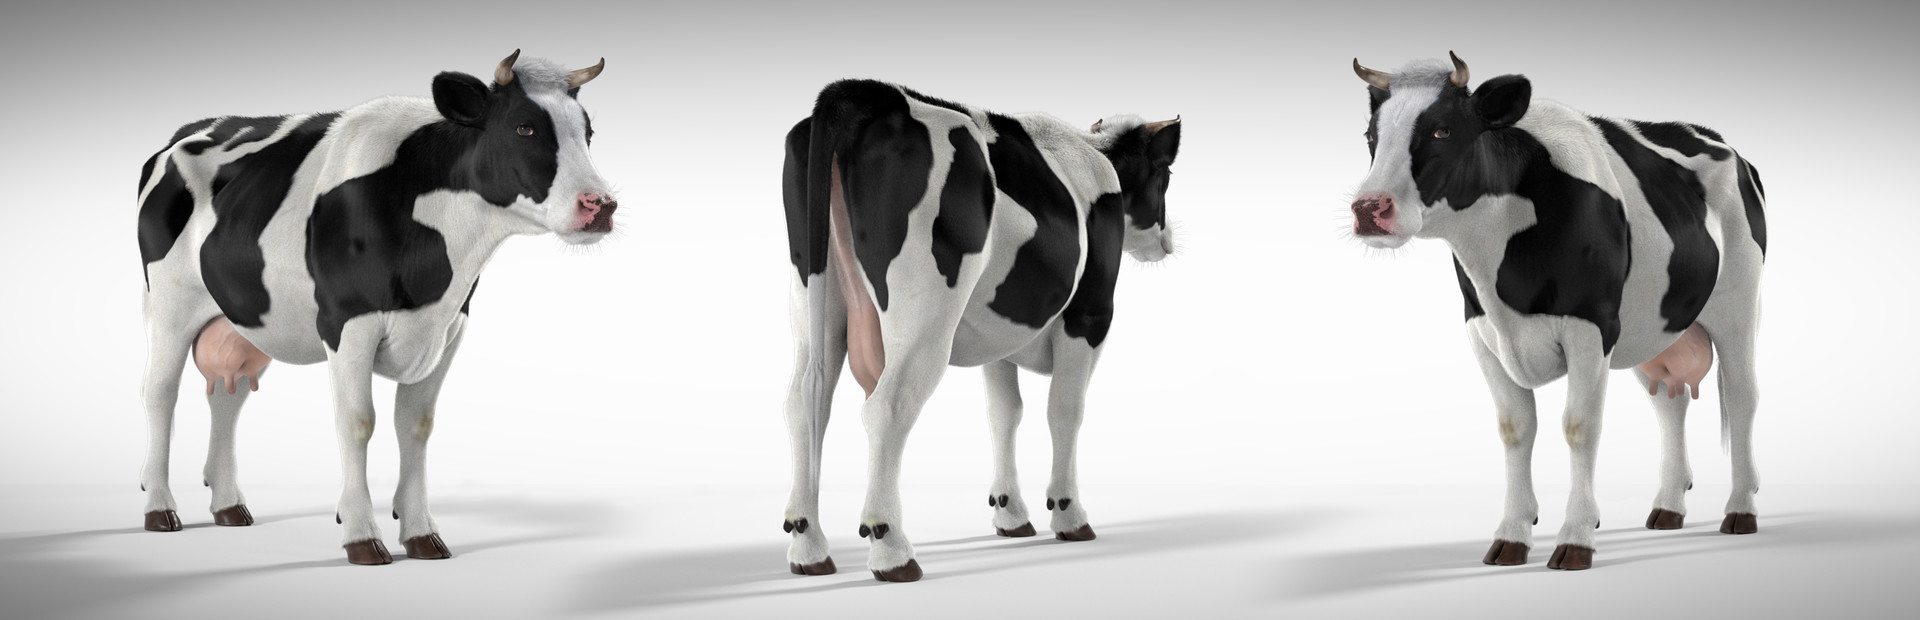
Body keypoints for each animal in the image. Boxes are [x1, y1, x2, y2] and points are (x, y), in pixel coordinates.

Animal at [135, 51, 617, 565]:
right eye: (523, 128)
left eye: (587, 132)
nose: (600, 205)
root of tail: (191, 130)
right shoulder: (346, 322)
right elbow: (357, 421)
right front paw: (362, 534)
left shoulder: (448, 326)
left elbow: (416, 425)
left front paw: (421, 532)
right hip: (168, 304)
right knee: (160, 392)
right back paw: (159, 507)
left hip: (243, 319)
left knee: (228, 395)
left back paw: (228, 505)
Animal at [779, 80, 1180, 581]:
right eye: (1164, 174)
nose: (1167, 240)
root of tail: (866, 94)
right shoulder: (1089, 317)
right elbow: (1064, 411)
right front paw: (1068, 514)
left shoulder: (999, 334)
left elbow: (1004, 412)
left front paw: (1010, 514)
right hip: (925, 319)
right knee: (886, 408)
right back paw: (892, 550)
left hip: (814, 301)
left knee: (805, 401)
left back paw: (808, 546)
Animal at [1348, 53, 1768, 570]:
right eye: (1370, 135)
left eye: (1443, 130)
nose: (1369, 208)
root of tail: (1722, 143)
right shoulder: (1482, 332)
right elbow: (1515, 429)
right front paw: (1512, 534)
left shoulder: (1592, 328)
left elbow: (1579, 427)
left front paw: (1576, 538)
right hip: (1652, 328)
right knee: (1668, 401)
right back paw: (1669, 507)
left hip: (1738, 303)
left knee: (1744, 397)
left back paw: (1741, 509)